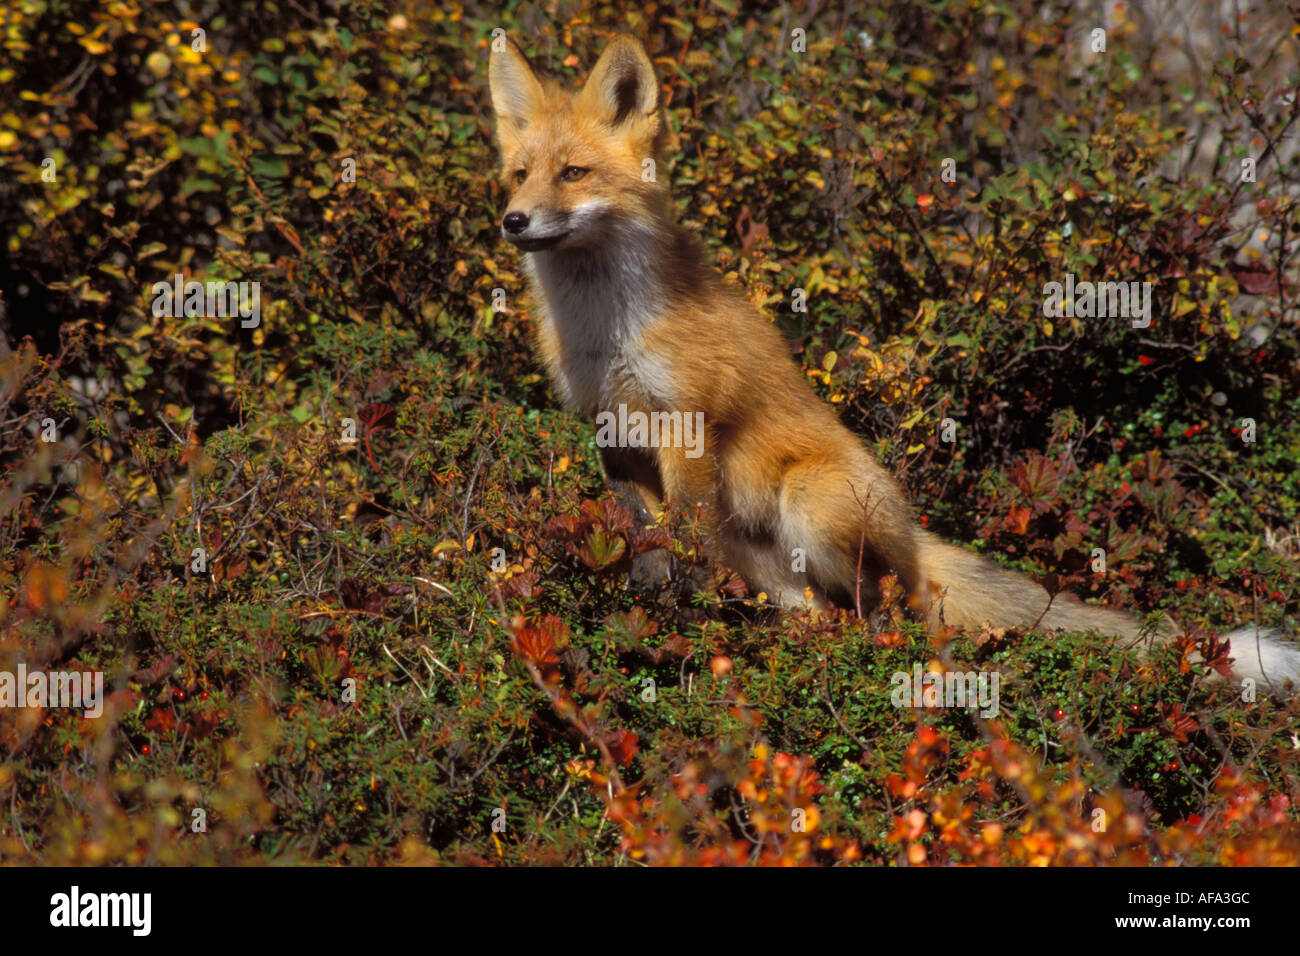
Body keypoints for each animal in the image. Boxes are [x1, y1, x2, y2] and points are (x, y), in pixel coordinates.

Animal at [488, 33, 1300, 695]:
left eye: (574, 173)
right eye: (519, 174)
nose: (513, 222)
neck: (605, 328)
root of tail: (914, 525)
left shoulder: (685, 422)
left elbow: (681, 535)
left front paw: (675, 606)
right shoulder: (611, 430)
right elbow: (644, 537)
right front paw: (647, 600)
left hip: (811, 501)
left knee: (884, 605)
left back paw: (872, 647)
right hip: (764, 551)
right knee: (809, 608)